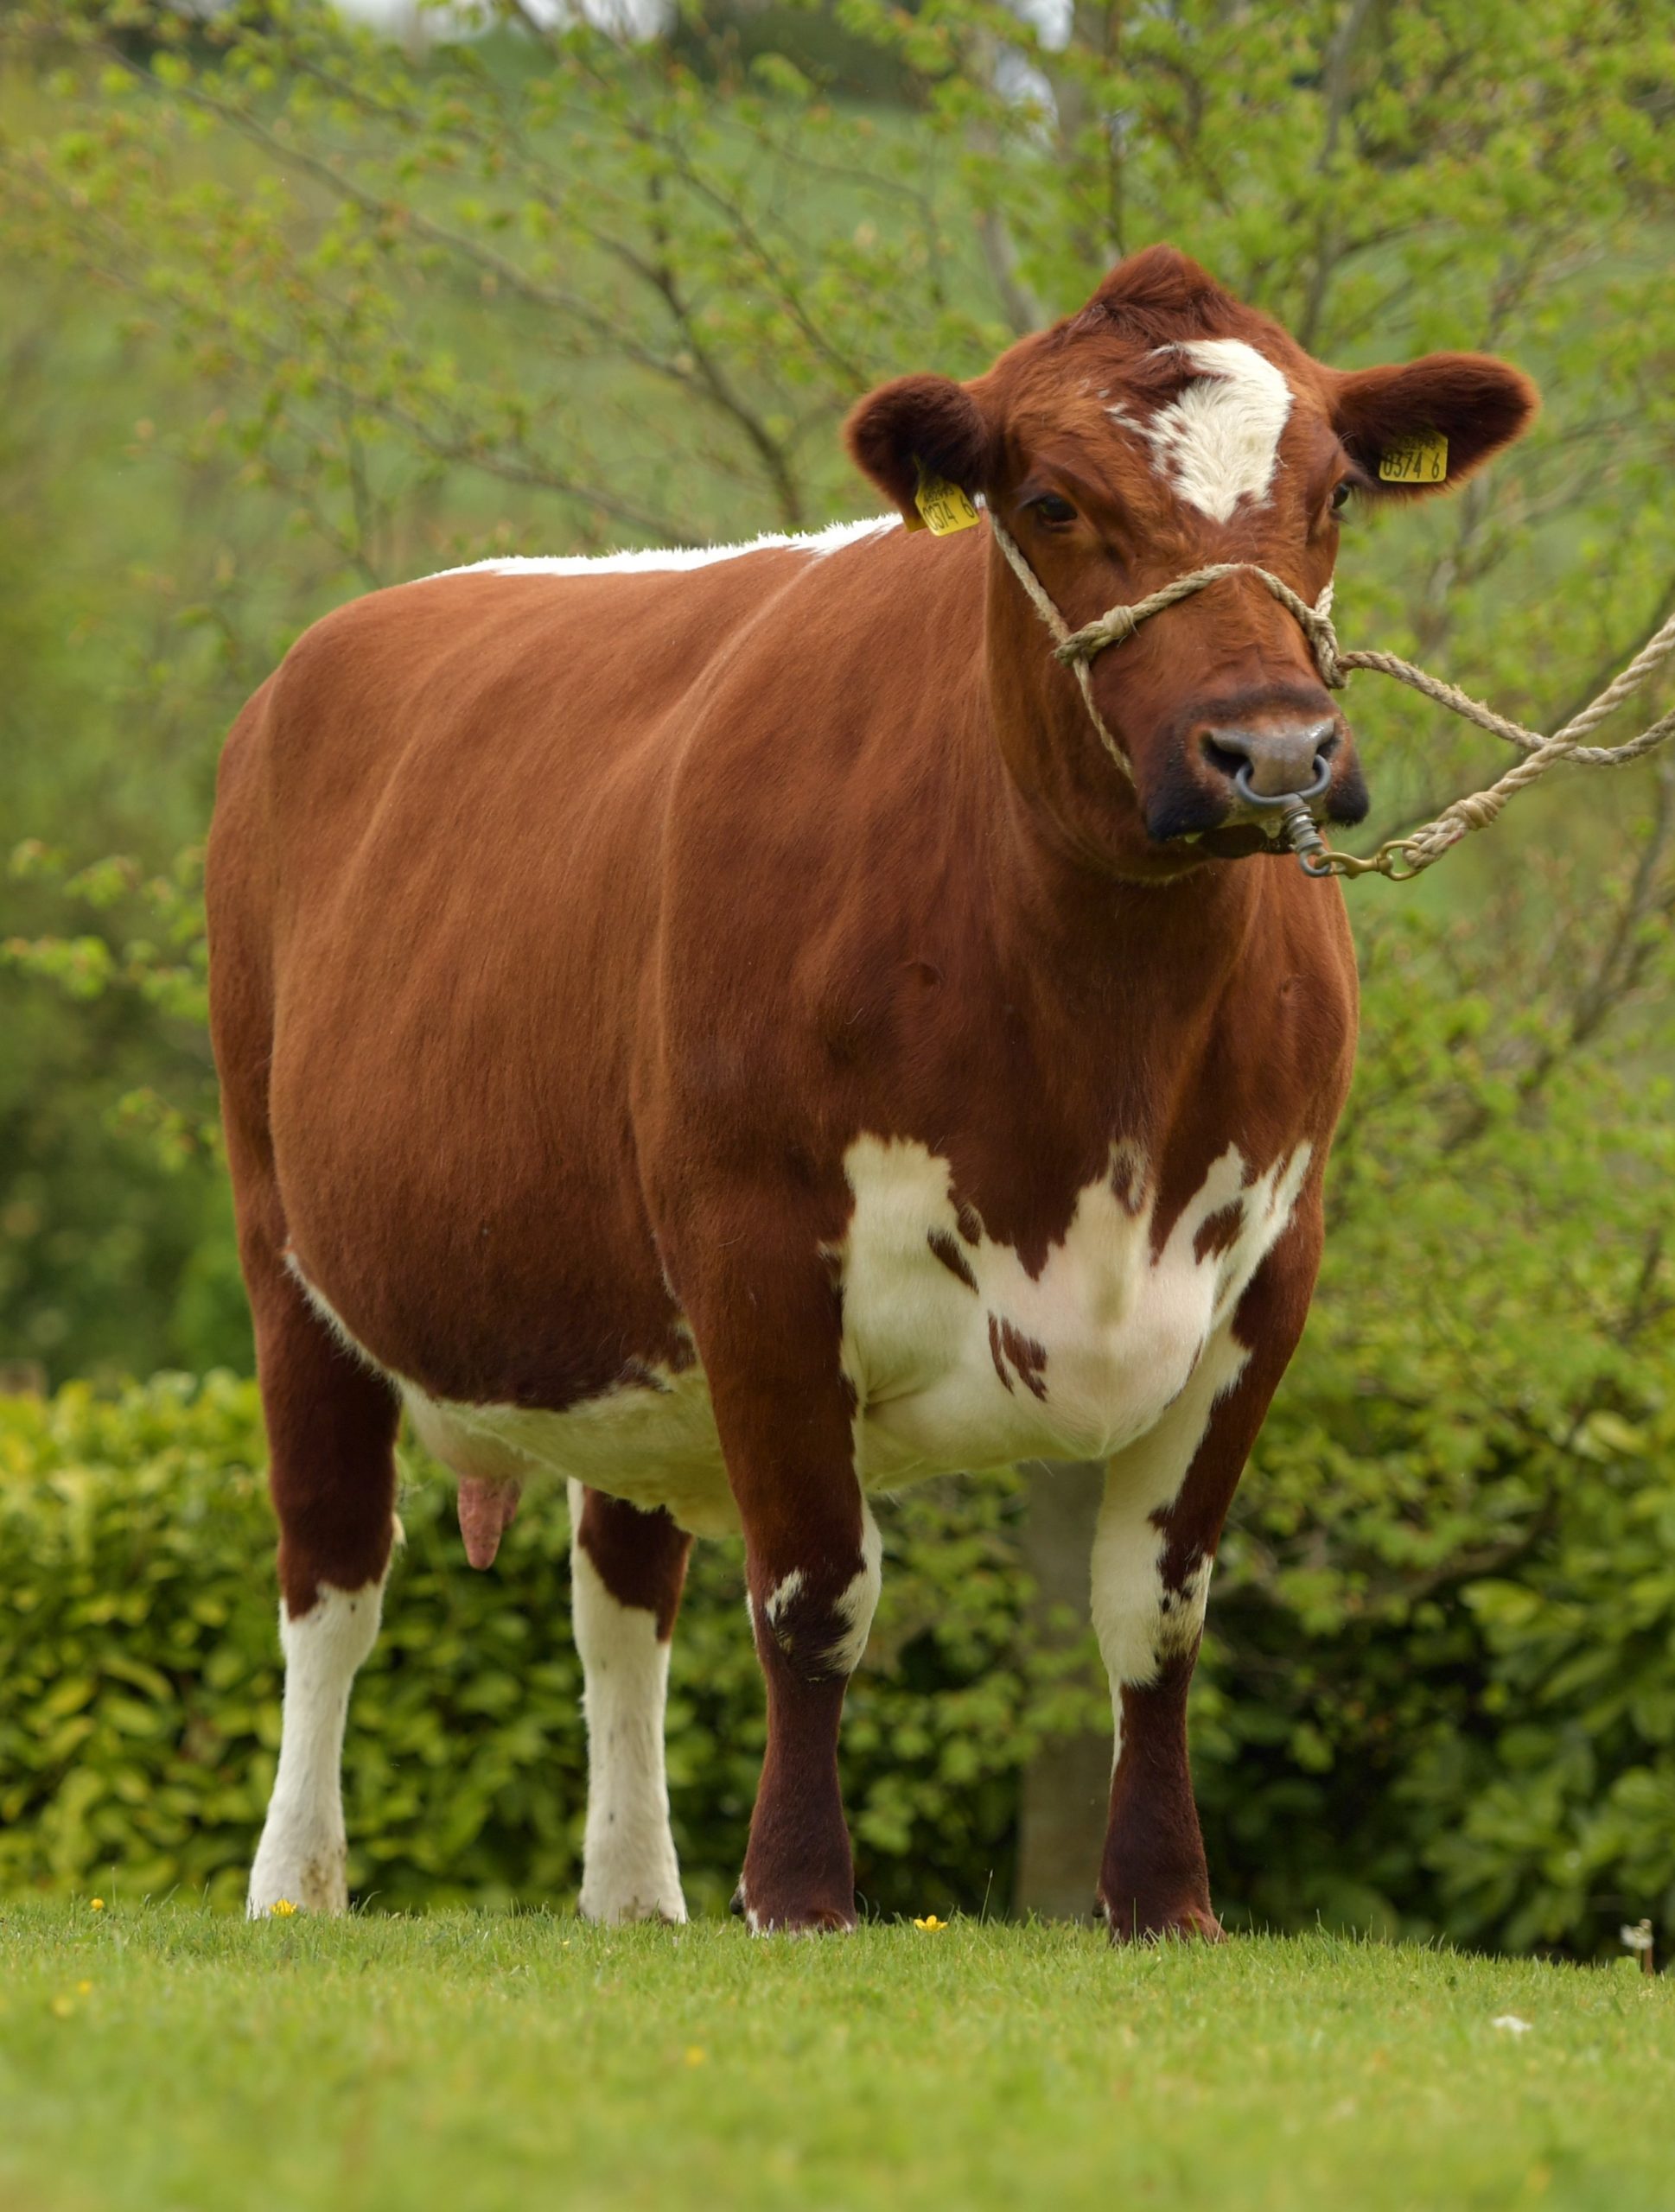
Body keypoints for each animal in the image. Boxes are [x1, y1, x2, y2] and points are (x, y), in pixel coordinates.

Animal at [207, 244, 1535, 1938]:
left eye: (1337, 493)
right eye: (1048, 500)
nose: (1275, 754)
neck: (1105, 1038)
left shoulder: (1262, 1272)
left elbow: (1156, 1612)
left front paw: (1161, 1898)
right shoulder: (754, 1250)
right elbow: (813, 1594)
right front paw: (798, 1892)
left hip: (613, 1325)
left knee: (617, 1598)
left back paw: (633, 1895)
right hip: (289, 1254)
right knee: (332, 1579)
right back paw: (297, 1883)